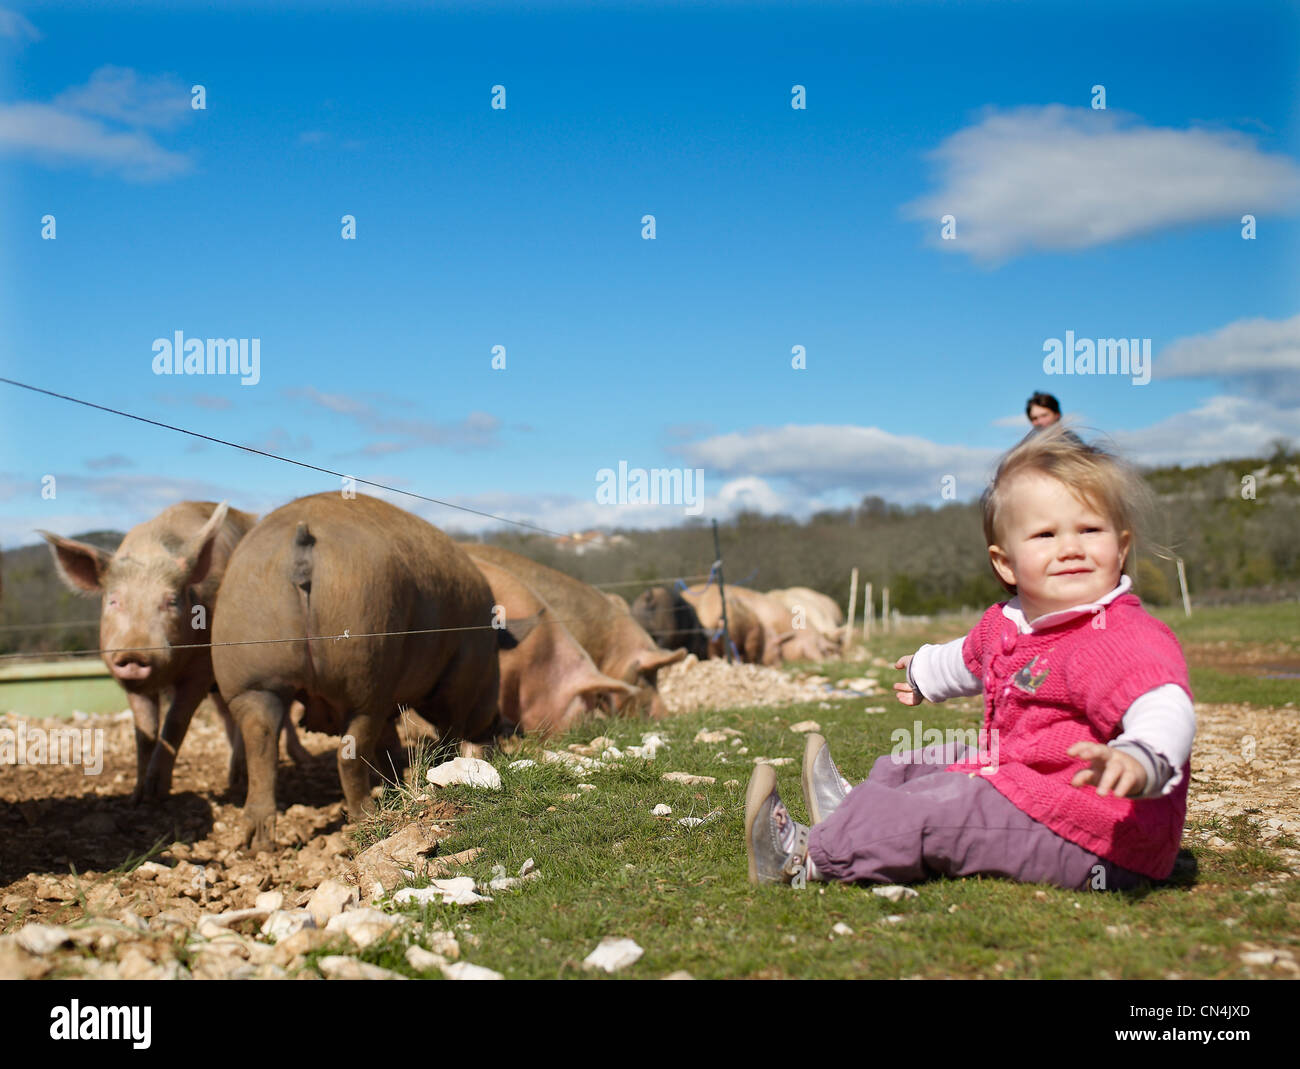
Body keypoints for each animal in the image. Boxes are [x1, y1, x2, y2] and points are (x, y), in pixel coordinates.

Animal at [39, 501, 300, 801]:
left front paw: (157, 792)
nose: (135, 653)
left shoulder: (202, 668)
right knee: (229, 713)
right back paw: (235, 778)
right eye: (114, 601)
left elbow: (175, 723)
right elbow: (145, 732)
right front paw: (138, 796)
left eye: (171, 601)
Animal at [211, 493, 501, 850]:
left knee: (261, 746)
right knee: (348, 753)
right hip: (367, 664)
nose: (496, 724)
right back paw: (366, 815)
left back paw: (258, 843)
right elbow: (442, 733)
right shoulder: (456, 680)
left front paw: (395, 782)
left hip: (251, 680)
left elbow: (389, 744)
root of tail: (302, 538)